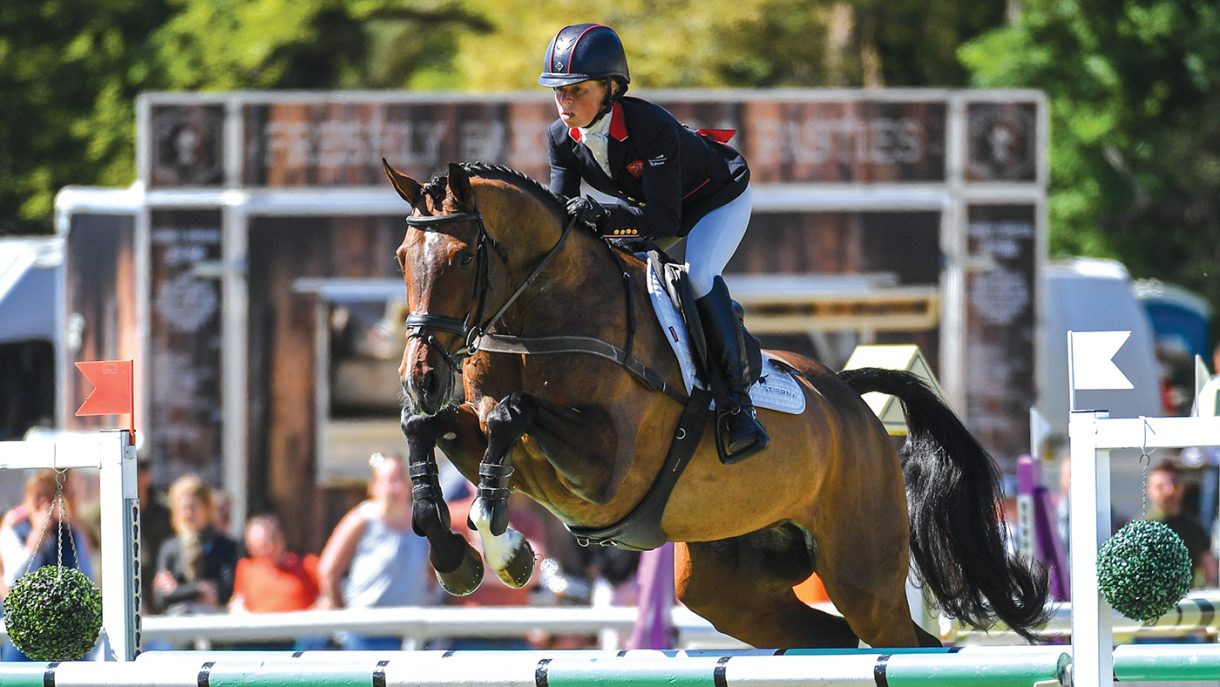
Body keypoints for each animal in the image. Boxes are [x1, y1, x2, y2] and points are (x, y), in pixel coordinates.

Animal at [384, 159, 1048, 648]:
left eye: (463, 258)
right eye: (402, 258)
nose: (420, 376)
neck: (540, 321)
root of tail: (850, 403)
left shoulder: (606, 471)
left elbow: (510, 415)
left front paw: (505, 551)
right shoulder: (500, 443)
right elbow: (427, 427)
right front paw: (454, 554)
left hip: (862, 571)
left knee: (898, 638)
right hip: (727, 585)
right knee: (829, 637)